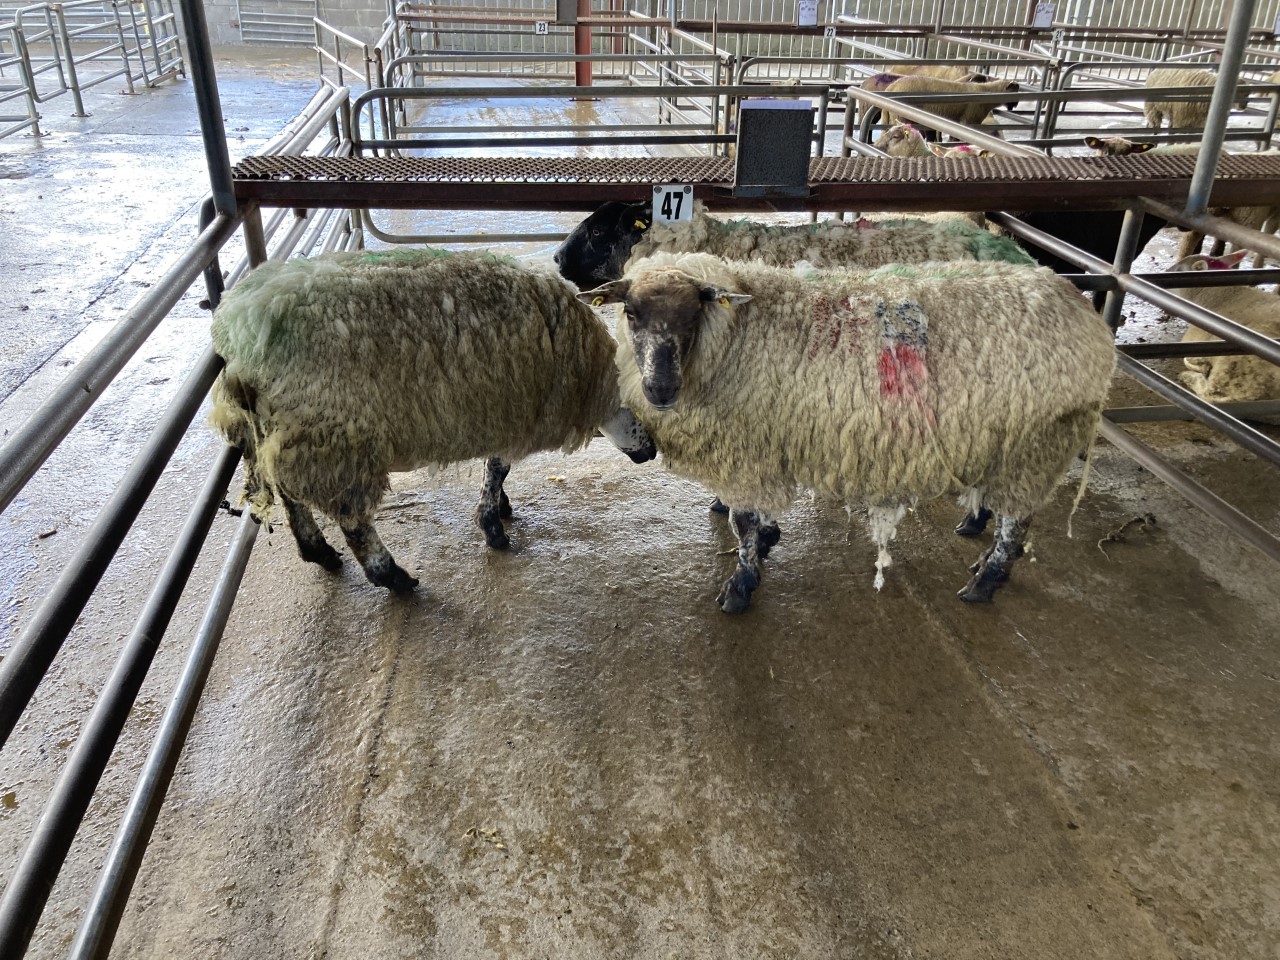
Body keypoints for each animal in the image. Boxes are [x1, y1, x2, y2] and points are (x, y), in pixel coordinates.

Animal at [210, 248, 656, 593]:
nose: (651, 453)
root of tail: (240, 336)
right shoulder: (513, 409)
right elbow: (498, 467)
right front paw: (493, 528)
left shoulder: (499, 409)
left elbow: (495, 469)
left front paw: (500, 508)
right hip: (333, 436)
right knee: (352, 518)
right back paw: (392, 577)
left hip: (280, 433)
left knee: (289, 494)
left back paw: (317, 551)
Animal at [580, 253, 1116, 612]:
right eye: (630, 313)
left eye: (694, 314)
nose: (659, 389)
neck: (736, 339)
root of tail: (1081, 307)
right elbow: (752, 519)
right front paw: (765, 542)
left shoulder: (749, 452)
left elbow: (743, 523)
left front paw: (741, 585)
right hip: (1006, 445)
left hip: (1035, 447)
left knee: (1016, 522)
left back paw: (986, 580)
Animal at [1171, 251, 1280, 402]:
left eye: (1179, 270)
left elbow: (1186, 358)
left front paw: (1201, 365)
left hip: (1235, 368)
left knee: (1210, 393)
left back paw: (1188, 376)